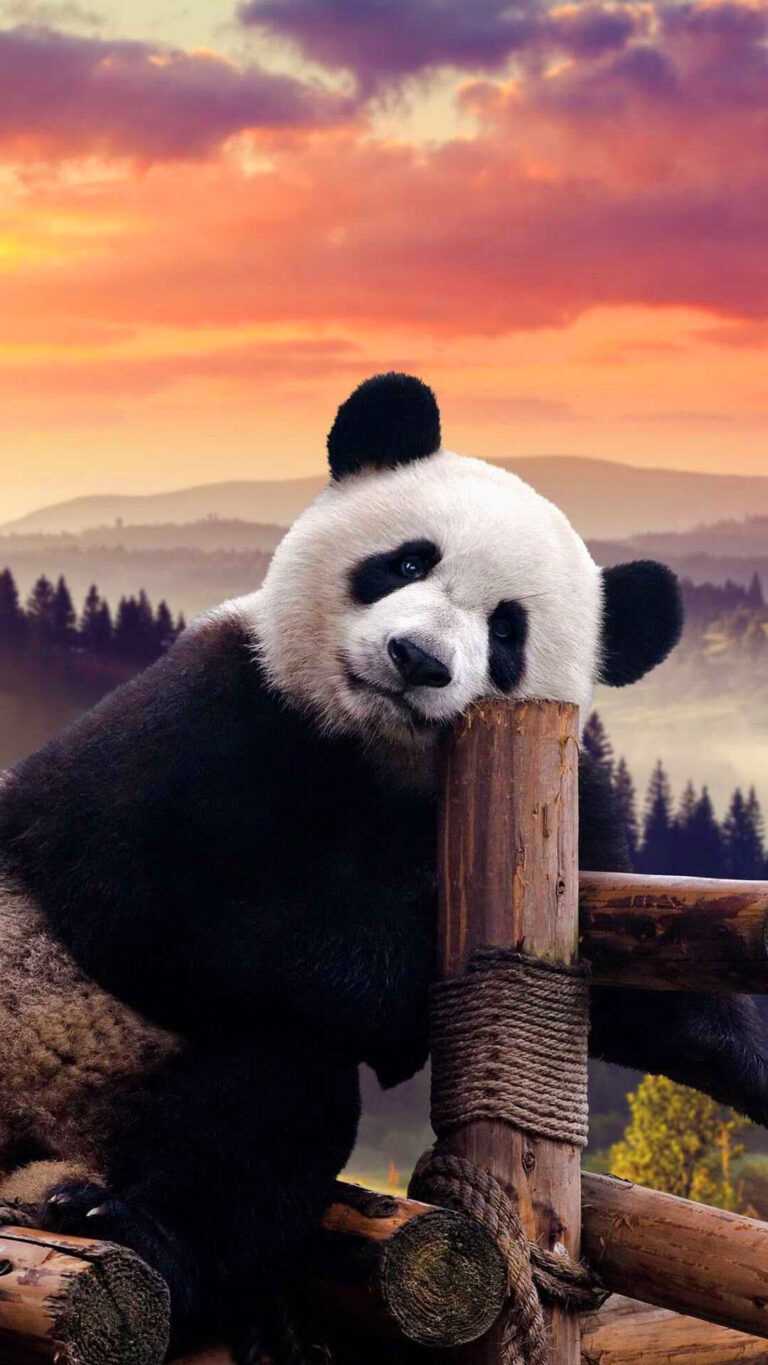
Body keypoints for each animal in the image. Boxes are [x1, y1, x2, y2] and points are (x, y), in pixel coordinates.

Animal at [0, 372, 766, 1362]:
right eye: (406, 562)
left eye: (507, 630)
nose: (419, 658)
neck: (377, 748)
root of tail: (43, 1153)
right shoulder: (209, 710)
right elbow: (145, 885)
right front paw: (402, 989)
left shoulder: (565, 795)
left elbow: (649, 983)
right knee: (276, 1072)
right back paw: (128, 1226)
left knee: (257, 1121)